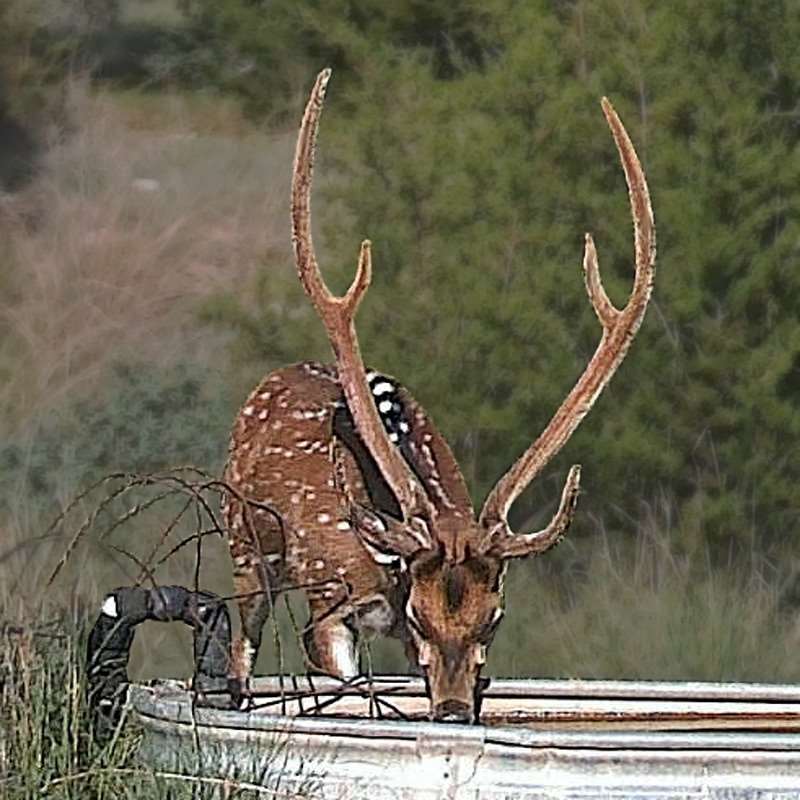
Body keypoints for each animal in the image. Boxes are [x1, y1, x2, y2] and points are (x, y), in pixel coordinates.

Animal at [223, 69, 655, 724]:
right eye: (418, 615)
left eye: (493, 620)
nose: (451, 711)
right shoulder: (330, 593)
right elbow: (341, 674)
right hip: (243, 547)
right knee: (238, 647)